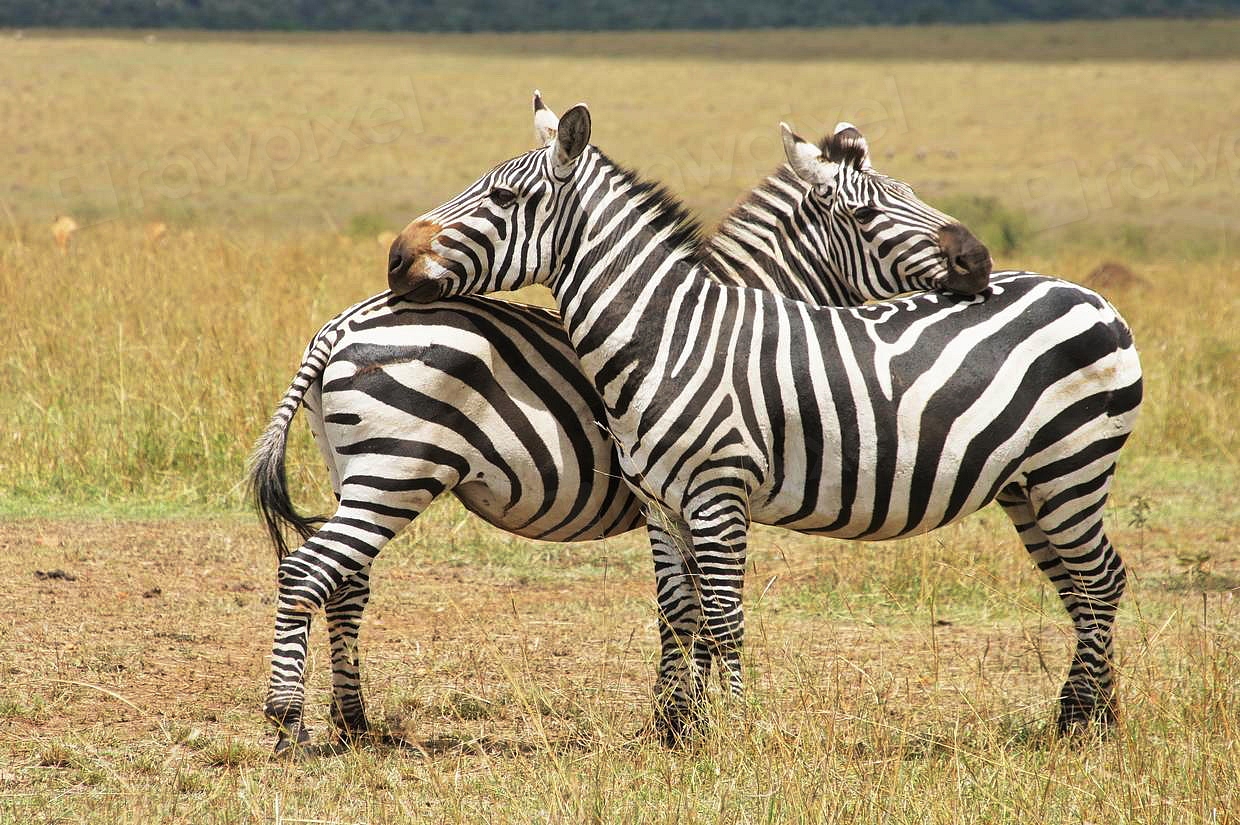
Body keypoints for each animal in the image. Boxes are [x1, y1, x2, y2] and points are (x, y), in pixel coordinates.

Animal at [386, 101, 1143, 743]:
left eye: (504, 199)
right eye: (867, 211)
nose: (395, 256)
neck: (669, 336)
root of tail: (1096, 298)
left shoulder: (719, 493)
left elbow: (723, 617)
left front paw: (731, 731)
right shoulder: (661, 503)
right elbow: (678, 613)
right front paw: (674, 728)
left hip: (1071, 469)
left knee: (1100, 579)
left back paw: (1089, 724)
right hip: (1028, 485)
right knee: (1079, 585)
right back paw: (1084, 715)